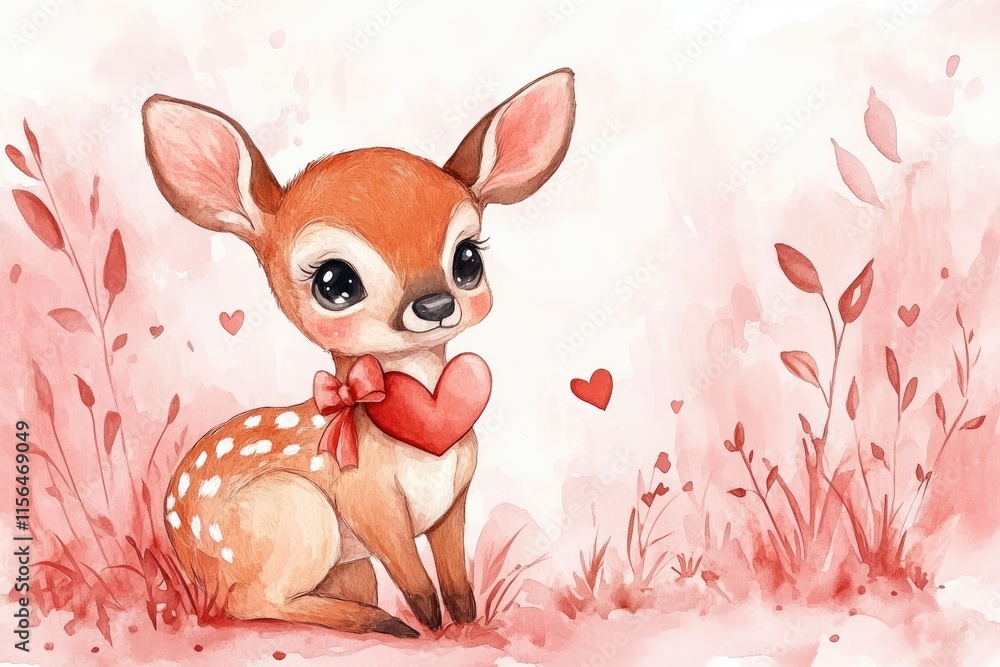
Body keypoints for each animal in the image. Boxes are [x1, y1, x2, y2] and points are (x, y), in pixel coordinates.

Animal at [141, 69, 576, 638]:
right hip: (294, 513)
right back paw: (378, 623)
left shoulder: (454, 500)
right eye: (335, 282)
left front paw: (467, 625)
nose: (435, 304)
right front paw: (430, 629)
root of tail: (189, 559)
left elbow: (455, 578)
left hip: (343, 563)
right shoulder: (366, 502)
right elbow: (415, 582)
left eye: (468, 259)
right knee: (248, 602)